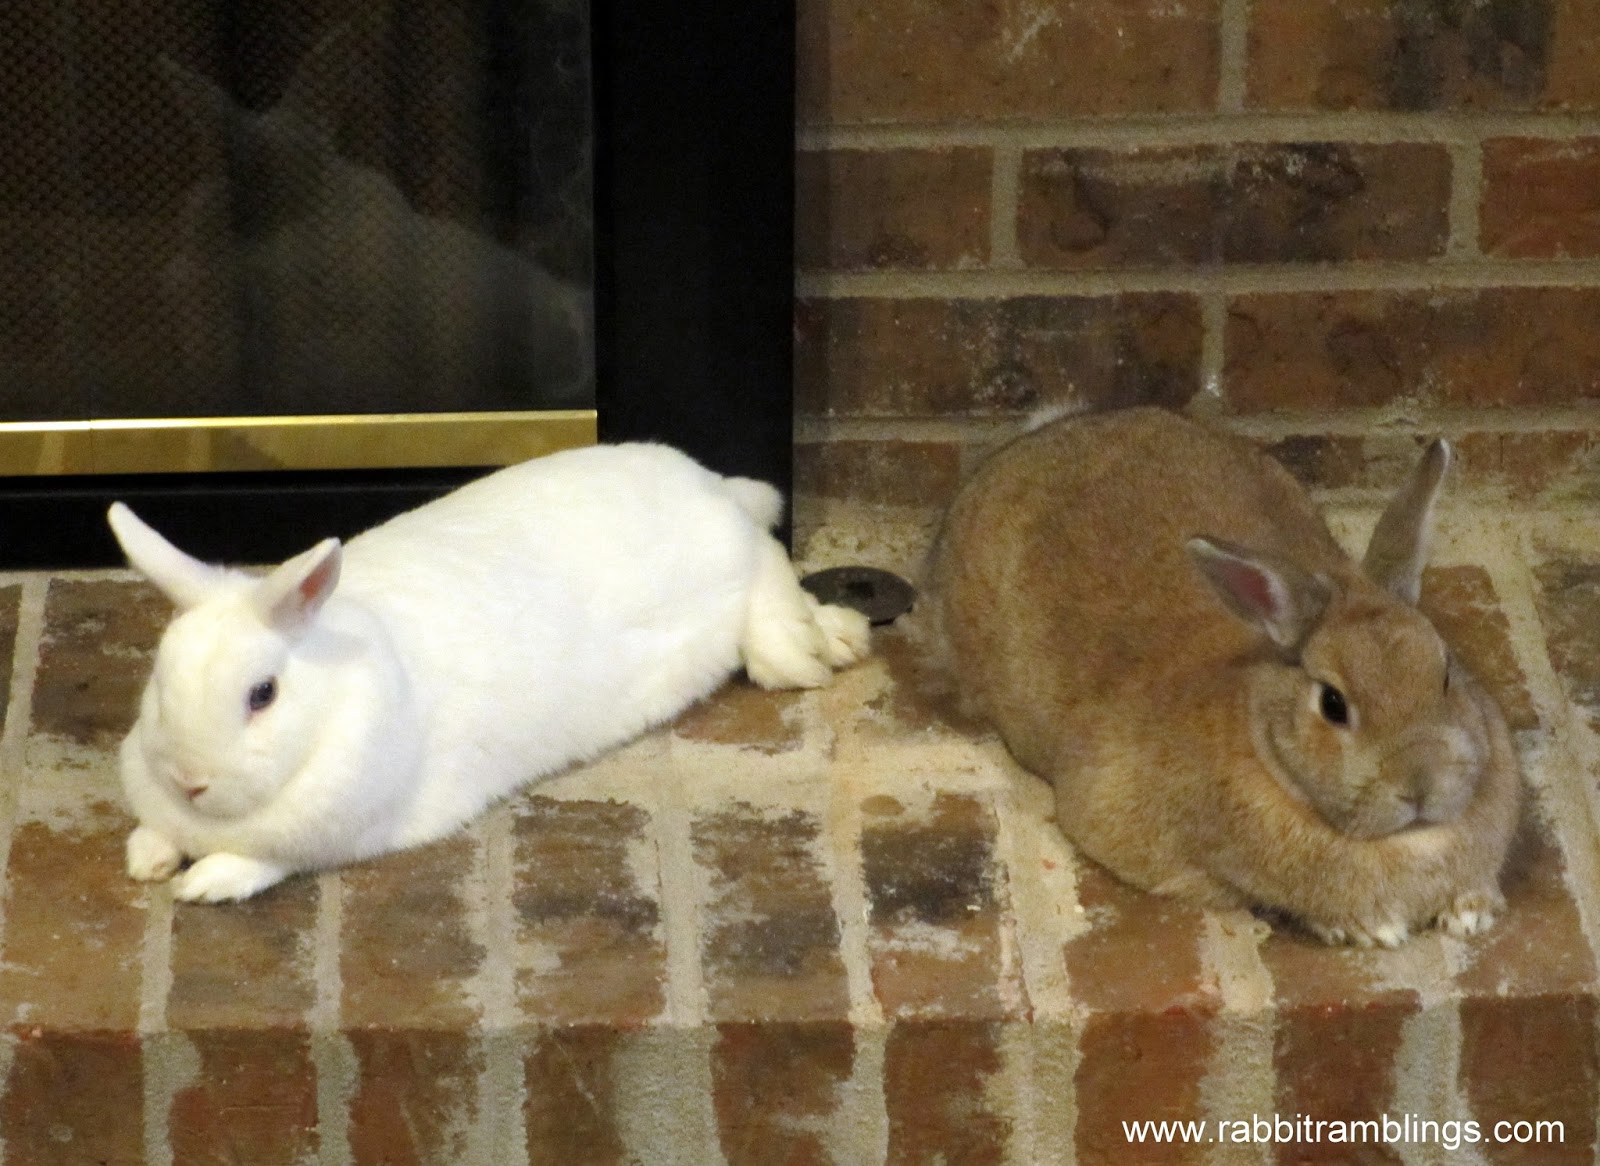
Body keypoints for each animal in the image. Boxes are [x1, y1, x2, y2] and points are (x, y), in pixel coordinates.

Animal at [109, 442, 871, 903]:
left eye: (262, 694)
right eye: (159, 684)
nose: (190, 781)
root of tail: (706, 483)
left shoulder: (345, 831)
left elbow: (264, 861)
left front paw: (201, 882)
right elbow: (157, 834)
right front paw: (148, 858)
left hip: (733, 557)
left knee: (767, 567)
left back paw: (810, 649)